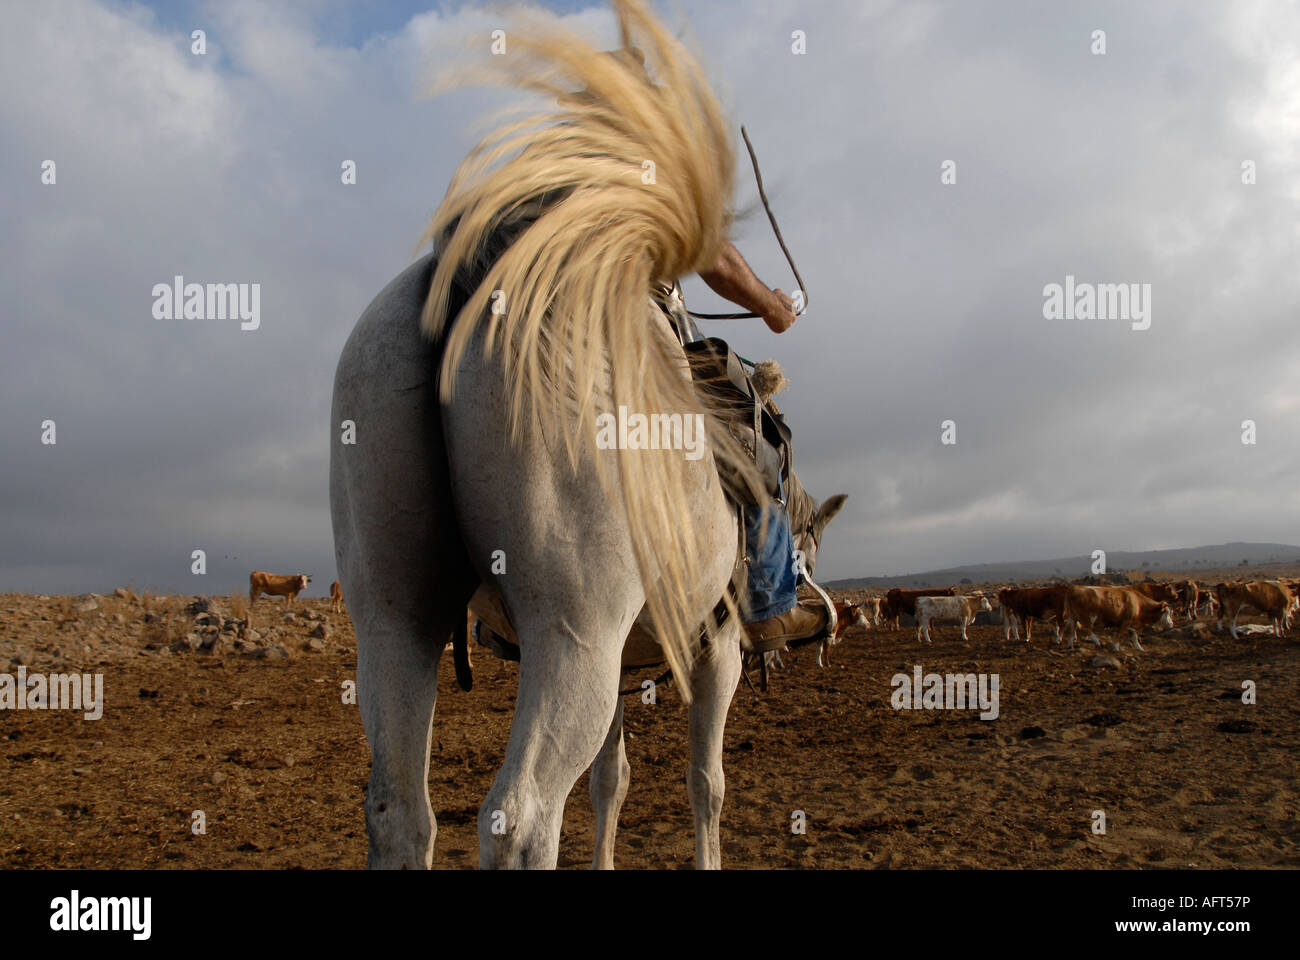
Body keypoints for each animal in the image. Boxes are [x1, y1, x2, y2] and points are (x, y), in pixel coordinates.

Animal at [329, 0, 846, 869]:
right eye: (806, 537)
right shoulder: (714, 649)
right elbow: (706, 784)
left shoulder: (631, 659)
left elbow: (613, 779)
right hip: (573, 632)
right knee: (521, 816)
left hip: (395, 613)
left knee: (399, 810)